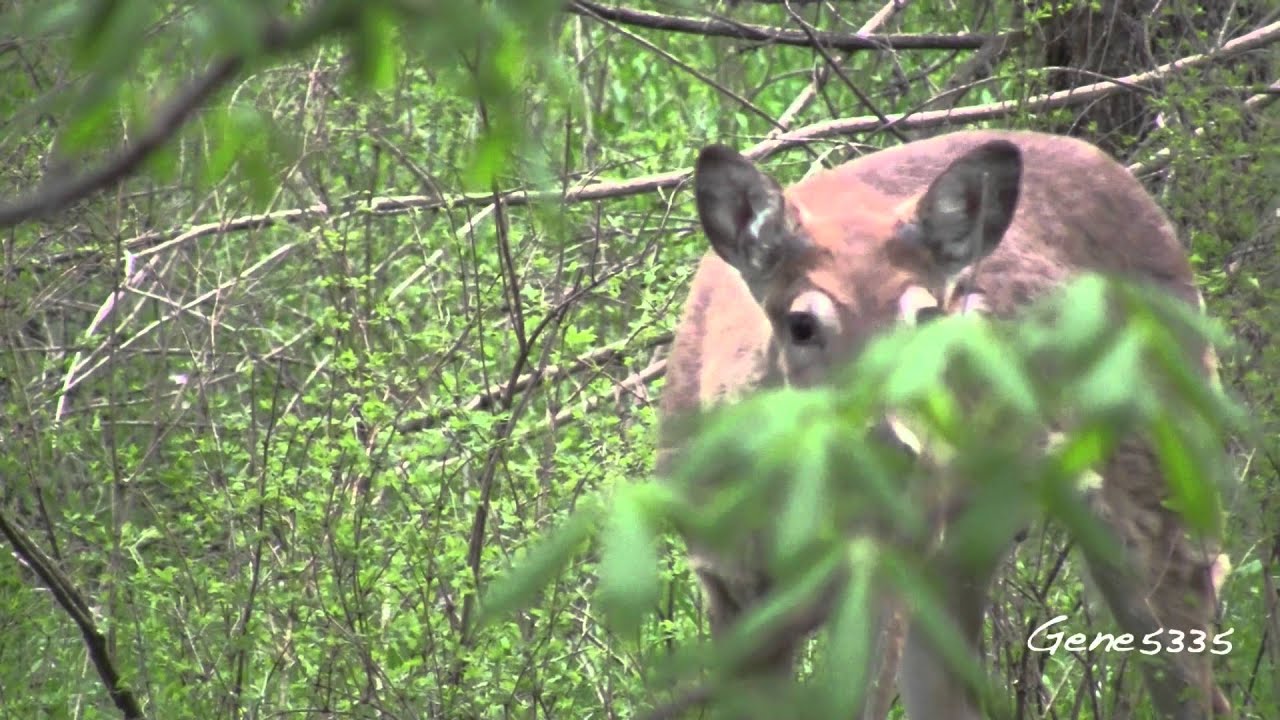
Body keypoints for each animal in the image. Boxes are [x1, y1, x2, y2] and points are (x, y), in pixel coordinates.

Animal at [655, 130, 1231, 719]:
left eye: (928, 316)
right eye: (801, 324)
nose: (891, 444)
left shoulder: (880, 565)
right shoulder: (729, 582)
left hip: (1160, 482)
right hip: (958, 556)